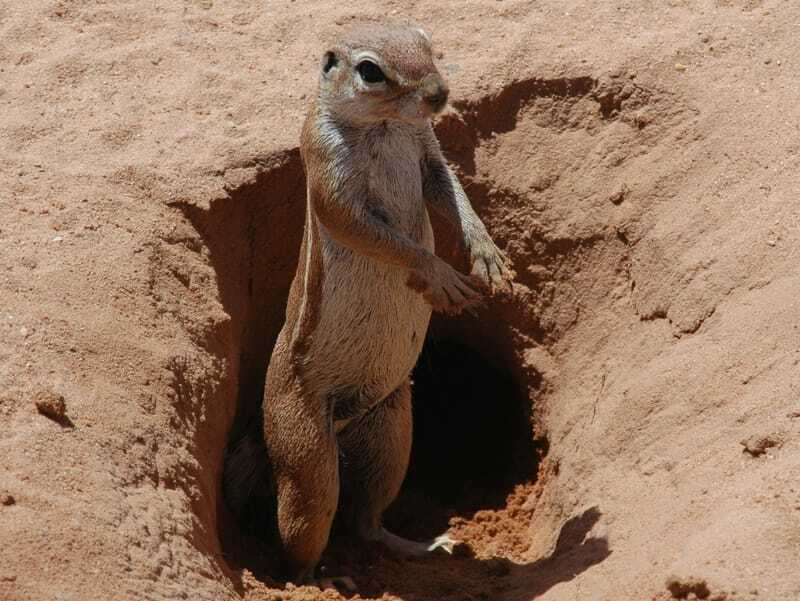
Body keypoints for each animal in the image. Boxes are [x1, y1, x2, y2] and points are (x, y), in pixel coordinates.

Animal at [225, 22, 512, 584]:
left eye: (426, 42)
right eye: (370, 71)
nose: (439, 95)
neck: (384, 125)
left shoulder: (426, 148)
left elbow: (449, 188)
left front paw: (486, 253)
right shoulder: (328, 171)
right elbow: (373, 232)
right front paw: (441, 276)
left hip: (392, 431)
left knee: (365, 521)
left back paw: (421, 546)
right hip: (308, 456)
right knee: (300, 534)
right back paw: (321, 578)